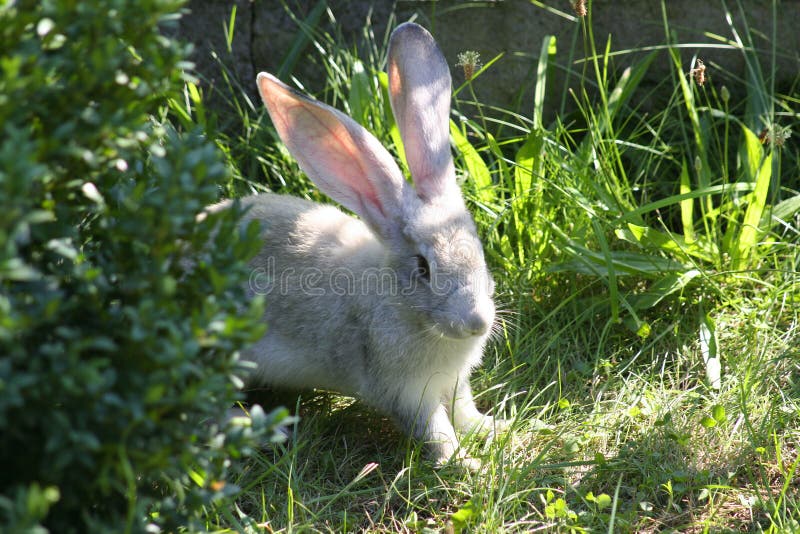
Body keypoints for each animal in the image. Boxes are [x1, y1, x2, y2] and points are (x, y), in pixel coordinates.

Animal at [223, 22, 506, 468]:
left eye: (478, 250)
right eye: (422, 268)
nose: (476, 322)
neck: (402, 304)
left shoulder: (455, 382)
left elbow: (463, 410)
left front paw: (495, 429)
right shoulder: (405, 390)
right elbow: (435, 429)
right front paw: (464, 463)